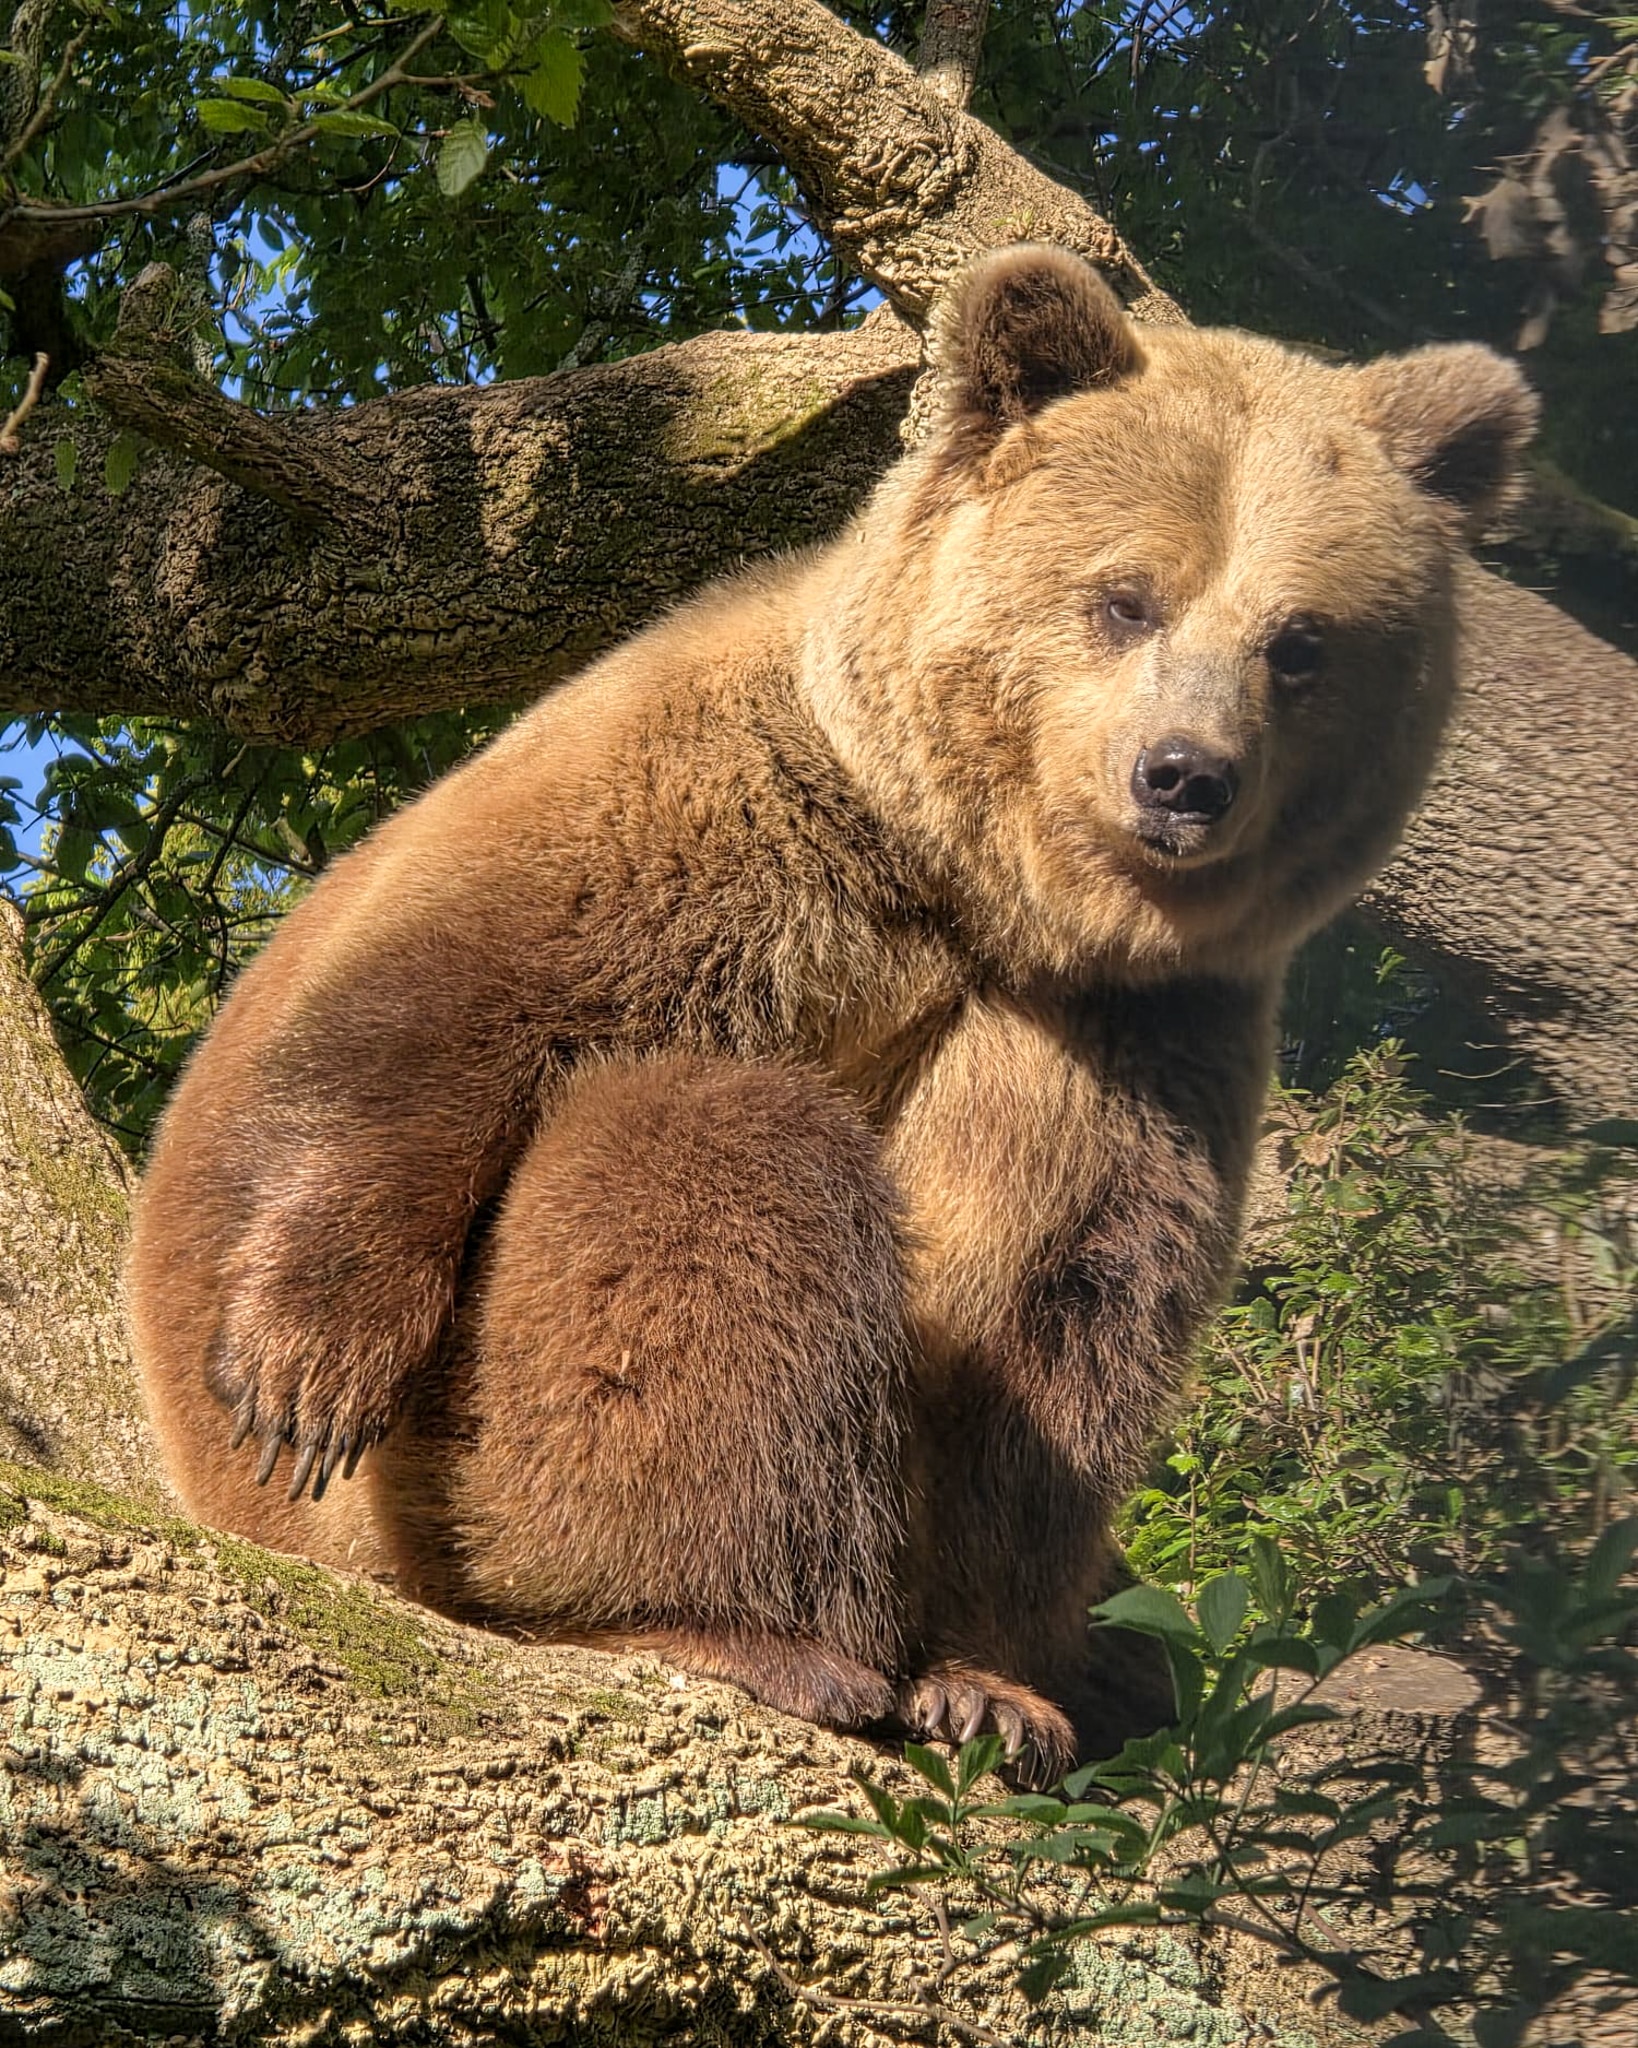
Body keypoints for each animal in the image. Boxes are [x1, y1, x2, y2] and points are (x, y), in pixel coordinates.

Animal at [127, 246, 1536, 1783]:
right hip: (436, 1465)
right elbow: (443, 1012)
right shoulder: (703, 815)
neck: (970, 885)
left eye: (1301, 641)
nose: (1182, 776)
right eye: (1126, 597)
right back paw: (727, 1623)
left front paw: (990, 1683)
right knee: (690, 1155)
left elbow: (1053, 1321)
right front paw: (302, 1370)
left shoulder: (1135, 1028)